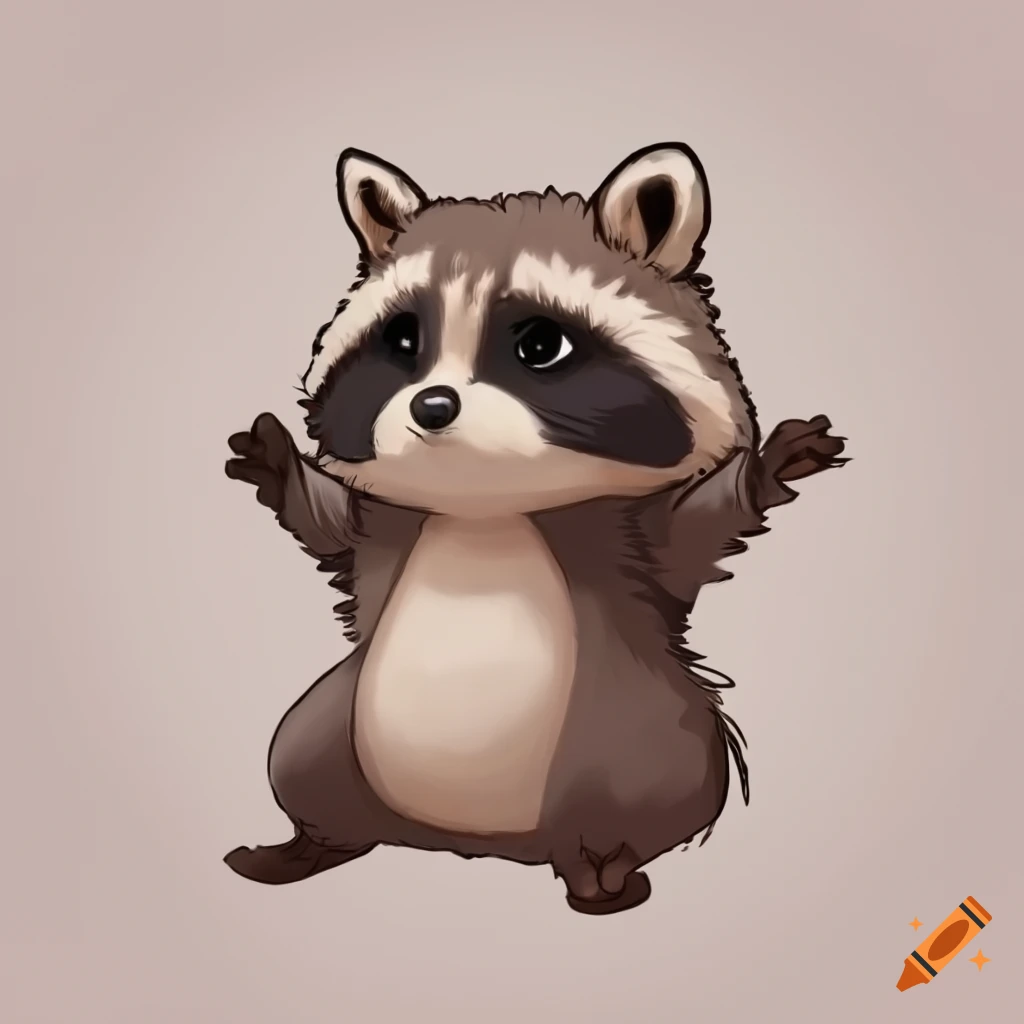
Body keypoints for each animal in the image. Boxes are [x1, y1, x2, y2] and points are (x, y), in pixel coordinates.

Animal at [223, 142, 848, 915]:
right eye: (403, 339)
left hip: (628, 738)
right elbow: (330, 521)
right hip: (335, 727)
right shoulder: (382, 527)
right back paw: (313, 841)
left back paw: (602, 868)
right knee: (300, 756)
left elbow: (701, 521)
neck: (482, 507)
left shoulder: (637, 534)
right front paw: (279, 463)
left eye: (541, 345)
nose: (433, 405)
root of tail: (471, 841)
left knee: (648, 782)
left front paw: (764, 469)